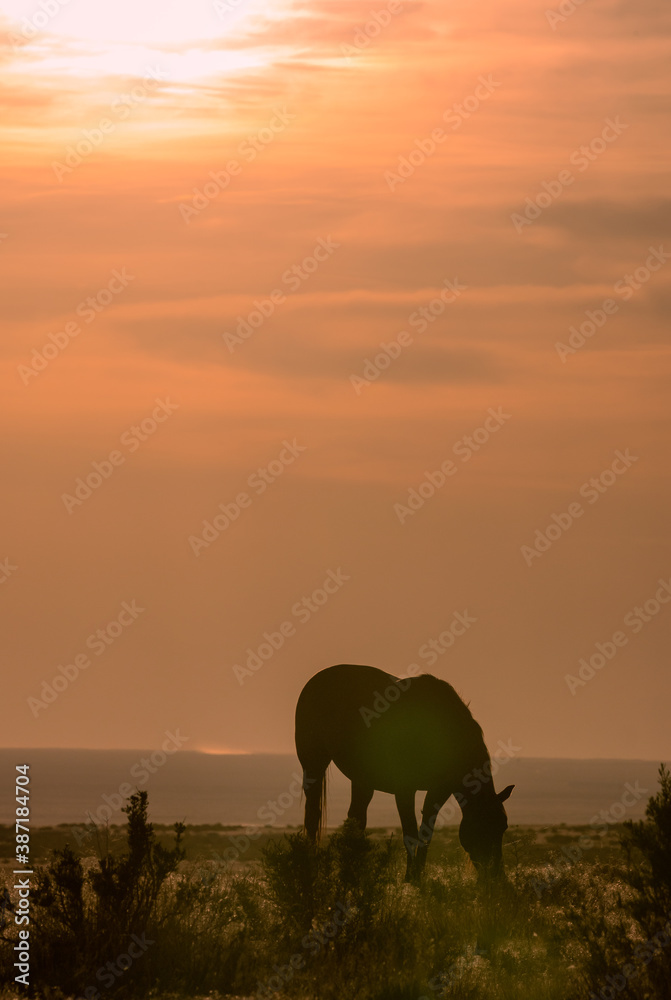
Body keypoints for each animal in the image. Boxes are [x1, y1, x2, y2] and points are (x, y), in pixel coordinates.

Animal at [295, 663, 514, 882]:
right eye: (482, 827)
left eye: (503, 826)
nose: (497, 876)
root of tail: (316, 680)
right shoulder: (404, 790)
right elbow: (410, 832)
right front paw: (410, 877)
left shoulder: (438, 791)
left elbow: (426, 832)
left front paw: (419, 874)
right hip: (314, 766)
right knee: (313, 817)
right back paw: (311, 870)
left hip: (362, 780)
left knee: (356, 820)